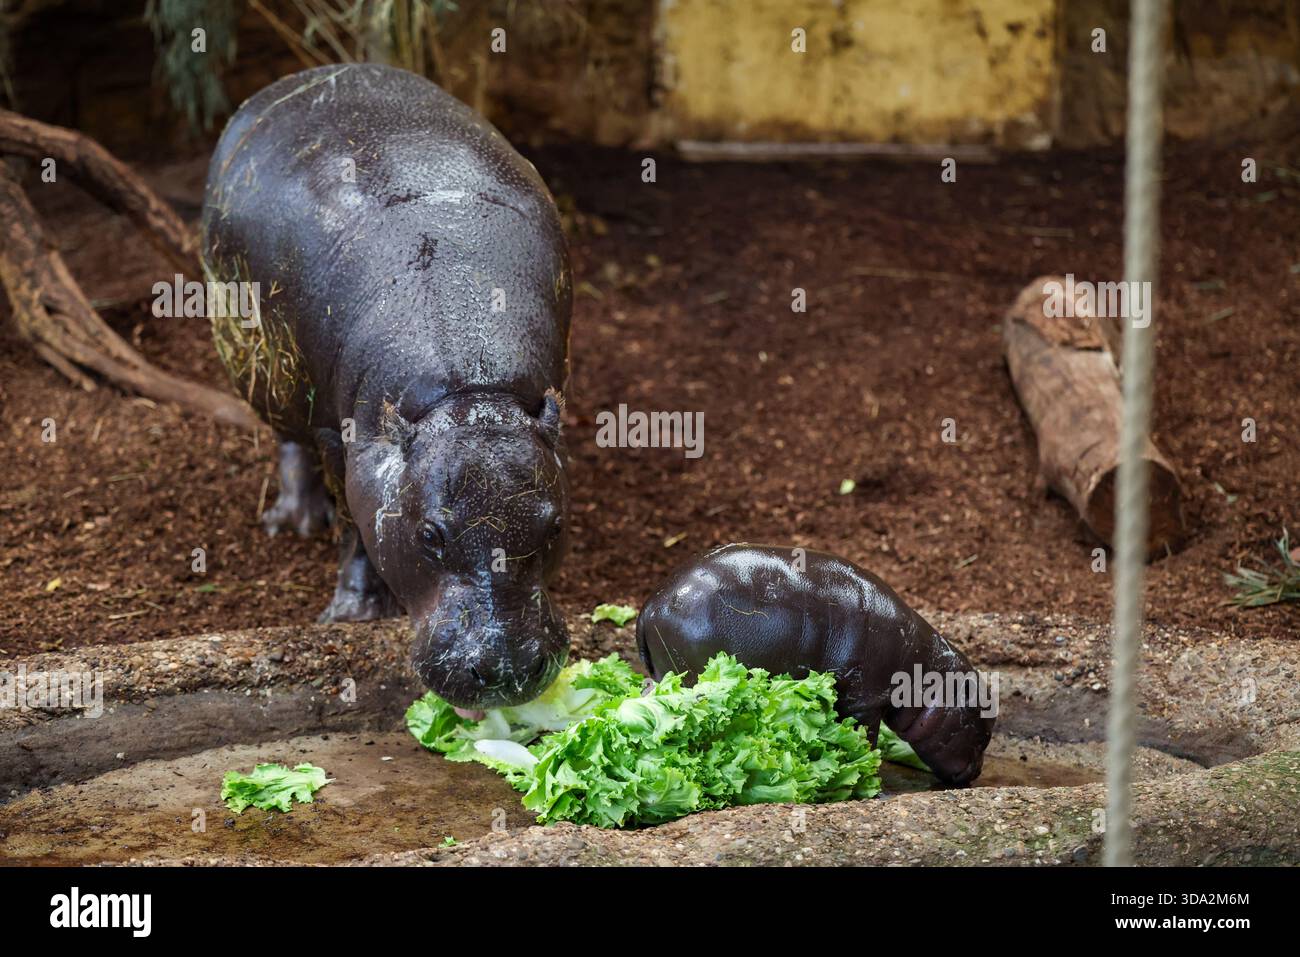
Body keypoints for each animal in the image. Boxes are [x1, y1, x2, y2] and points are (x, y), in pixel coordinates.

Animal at [201, 64, 572, 710]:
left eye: (555, 527)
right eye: (429, 534)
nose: (506, 671)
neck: (470, 396)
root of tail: (309, 76)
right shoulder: (339, 437)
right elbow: (355, 528)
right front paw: (351, 615)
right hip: (269, 374)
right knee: (288, 441)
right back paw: (297, 521)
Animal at [636, 544, 996, 784]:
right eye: (982, 727)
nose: (977, 773)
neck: (923, 668)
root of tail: (650, 605)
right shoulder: (866, 702)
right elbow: (865, 739)